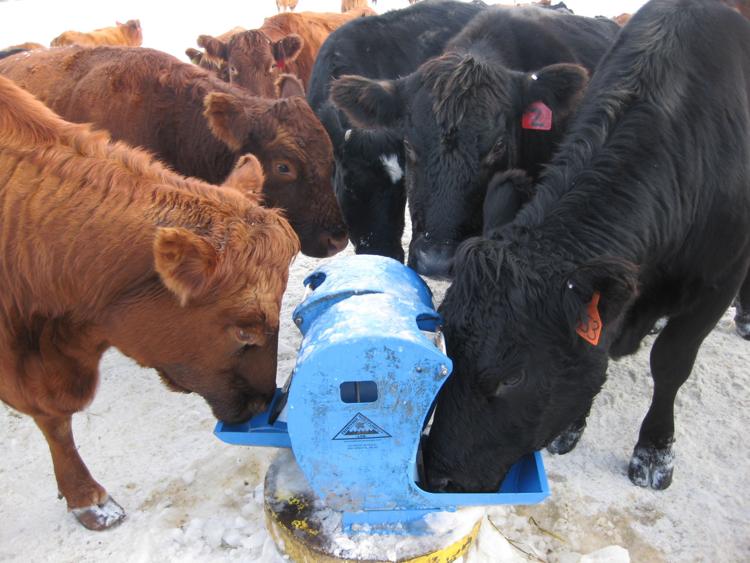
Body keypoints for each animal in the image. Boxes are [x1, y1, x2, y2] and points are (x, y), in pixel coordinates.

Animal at [422, 0, 750, 495]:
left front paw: (654, 452)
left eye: (513, 377)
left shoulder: (719, 279)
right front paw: (573, 426)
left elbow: (671, 362)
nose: (436, 474)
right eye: (449, 352)